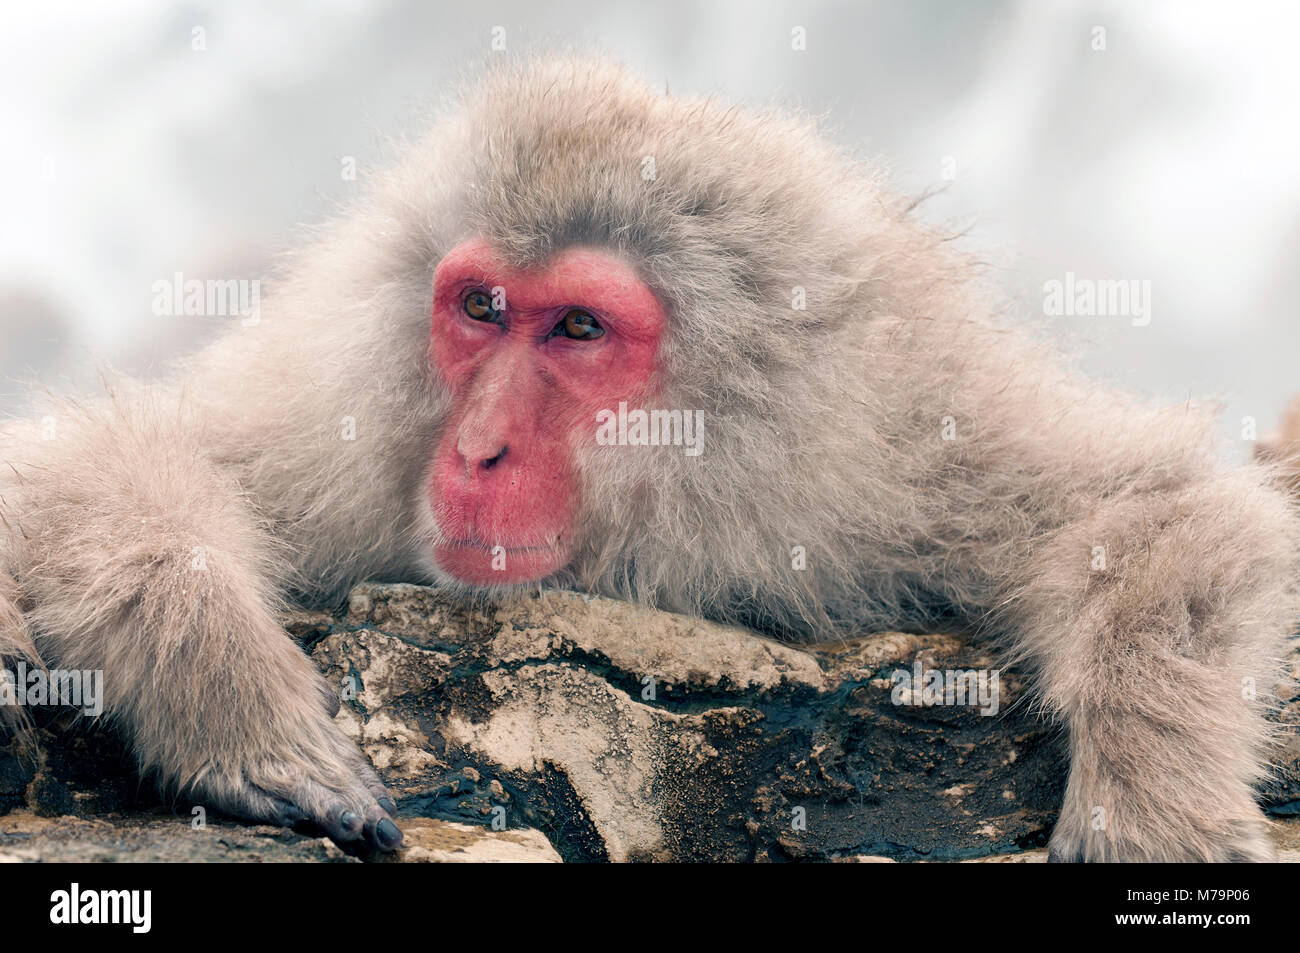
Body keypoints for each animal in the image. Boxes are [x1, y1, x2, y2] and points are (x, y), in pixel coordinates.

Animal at [1, 56, 1297, 861]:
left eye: (578, 327)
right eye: (480, 306)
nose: (474, 447)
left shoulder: (909, 440)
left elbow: (1159, 505)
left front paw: (1153, 789)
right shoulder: (344, 432)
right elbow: (87, 466)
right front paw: (227, 688)